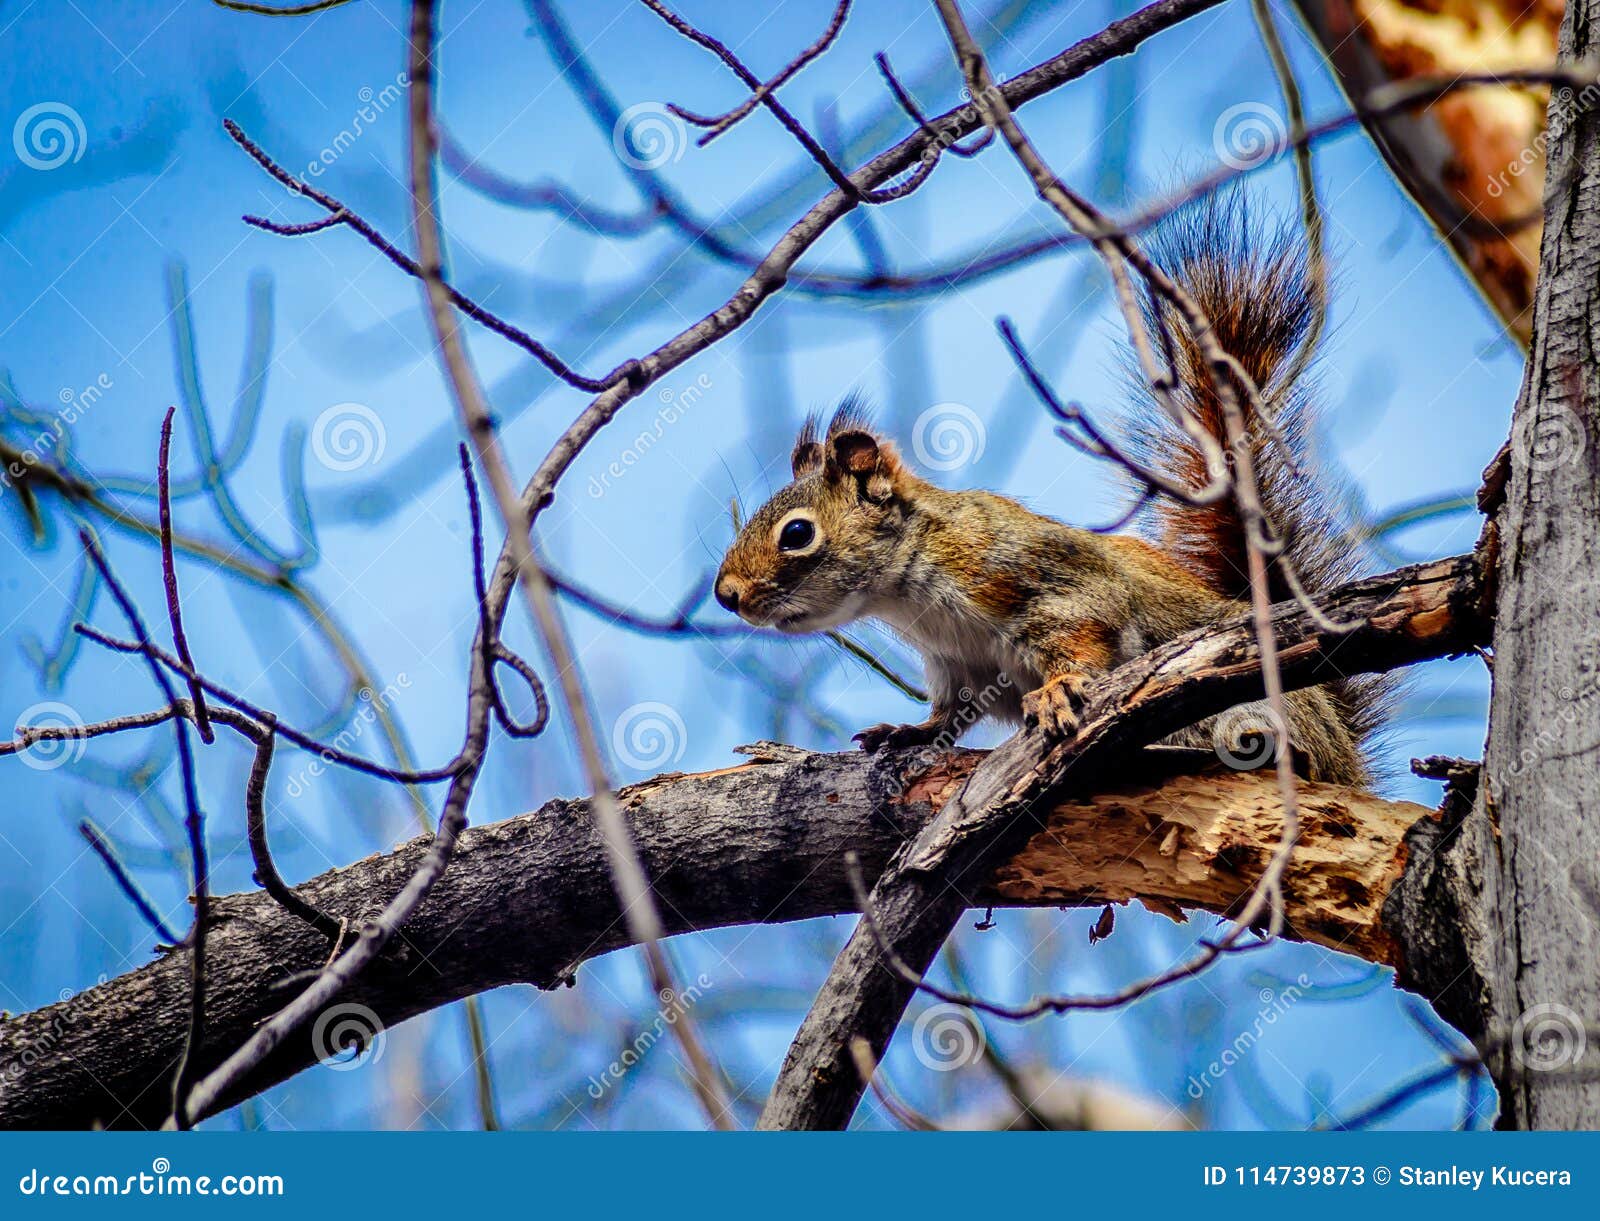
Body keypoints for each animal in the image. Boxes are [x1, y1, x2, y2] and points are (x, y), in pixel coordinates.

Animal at [714, 201, 1386, 788]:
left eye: (797, 533)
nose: (727, 596)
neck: (909, 593)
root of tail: (1348, 761)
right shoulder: (958, 666)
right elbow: (950, 713)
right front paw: (910, 732)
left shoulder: (1041, 577)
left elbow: (1085, 631)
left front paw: (1059, 689)